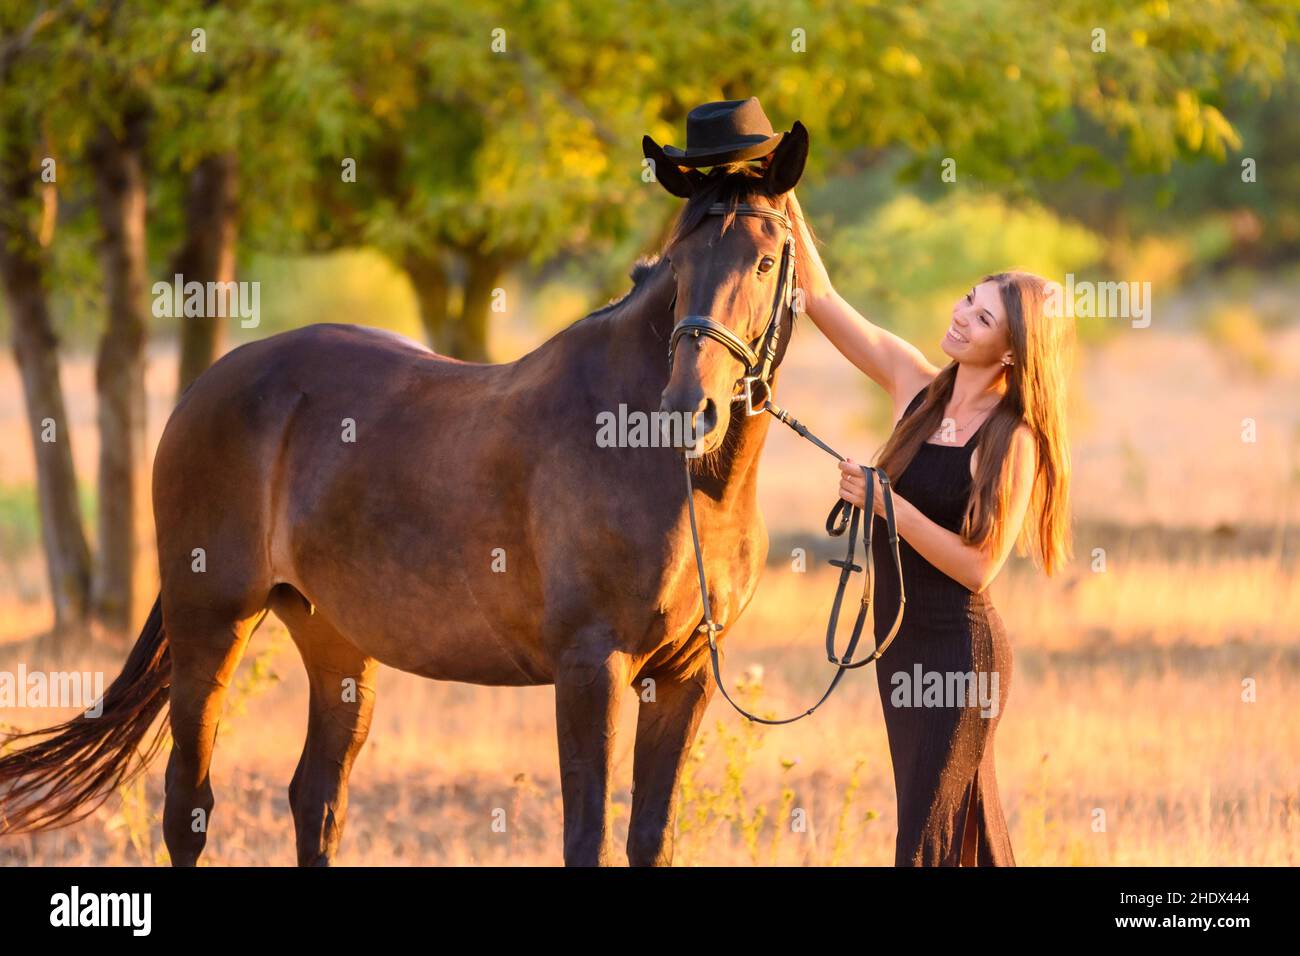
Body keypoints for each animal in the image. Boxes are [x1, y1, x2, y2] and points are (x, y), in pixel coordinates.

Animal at [0, 123, 814, 866]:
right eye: (680, 261)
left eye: (765, 260)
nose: (687, 411)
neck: (684, 484)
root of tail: (206, 386)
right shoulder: (592, 667)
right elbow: (587, 838)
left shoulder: (684, 679)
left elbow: (653, 837)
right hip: (210, 627)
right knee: (187, 806)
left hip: (334, 640)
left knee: (316, 799)